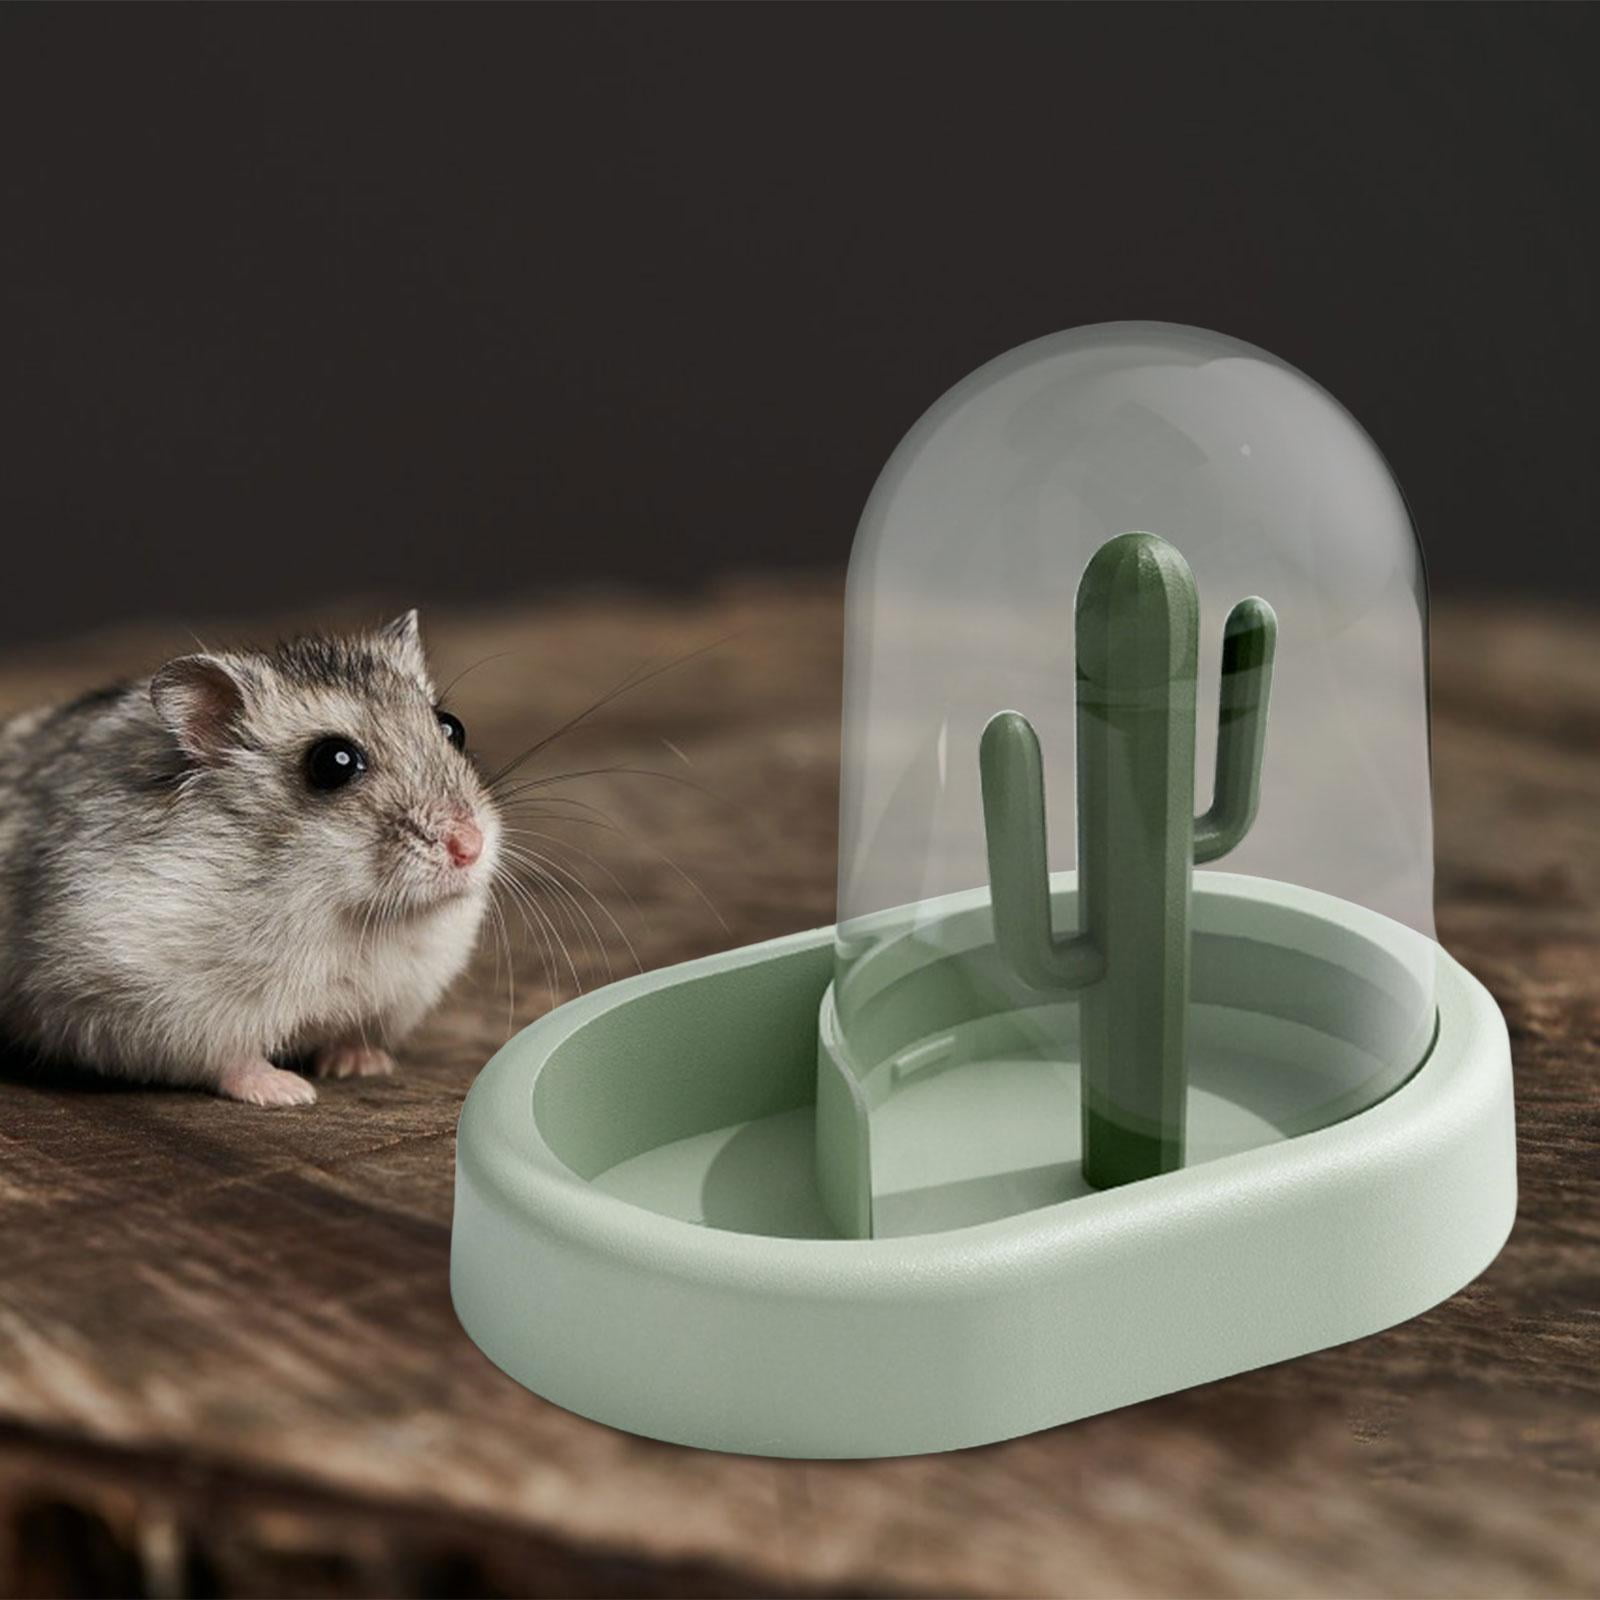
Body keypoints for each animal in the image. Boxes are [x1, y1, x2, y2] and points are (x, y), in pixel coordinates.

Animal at [0, 611, 501, 1107]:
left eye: (452, 727)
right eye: (333, 762)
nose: (469, 846)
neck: (340, 908)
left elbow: (349, 1035)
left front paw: (364, 1064)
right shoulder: (144, 996)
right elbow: (229, 1060)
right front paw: (290, 1091)